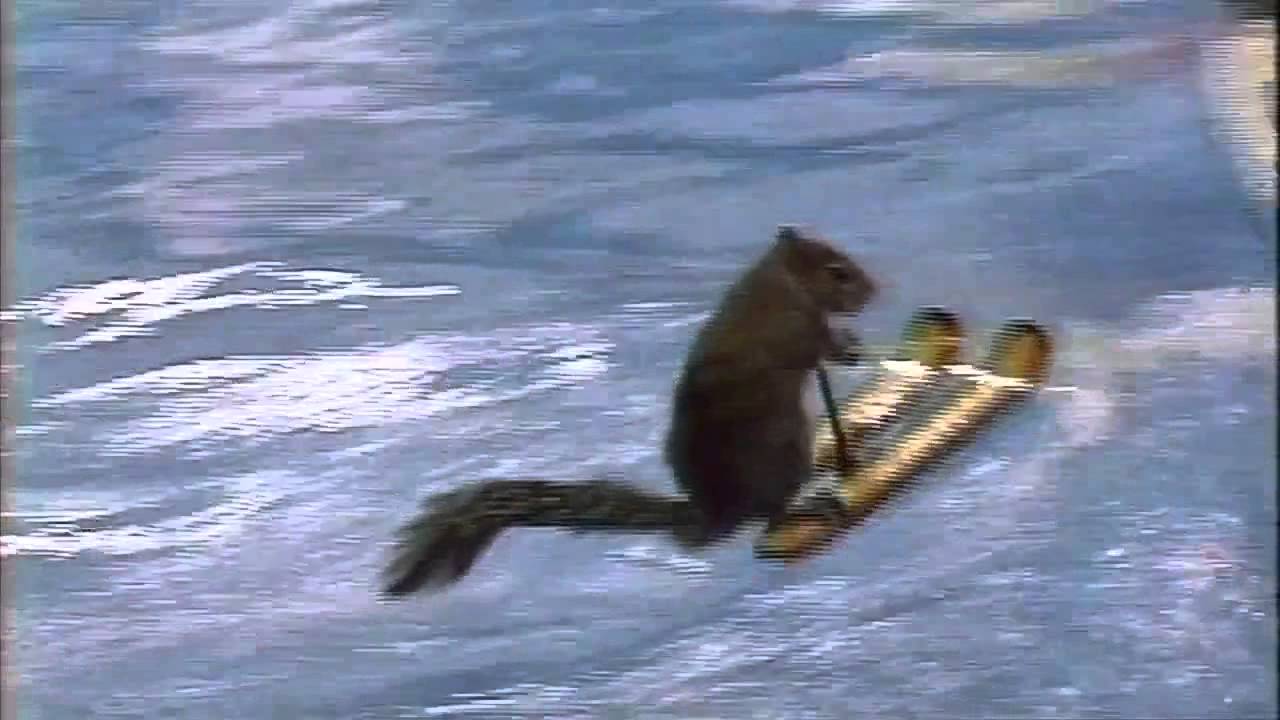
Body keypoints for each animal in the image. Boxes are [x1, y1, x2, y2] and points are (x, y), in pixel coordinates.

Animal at [381, 226, 878, 597]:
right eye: (837, 273)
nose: (874, 290)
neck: (779, 284)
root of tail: (717, 512)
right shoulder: (794, 333)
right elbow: (819, 351)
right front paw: (849, 346)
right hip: (782, 449)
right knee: (772, 514)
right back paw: (807, 504)